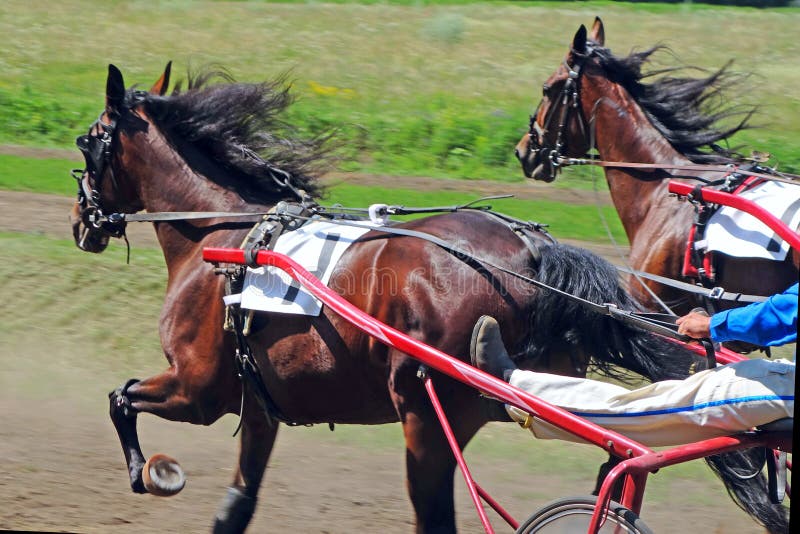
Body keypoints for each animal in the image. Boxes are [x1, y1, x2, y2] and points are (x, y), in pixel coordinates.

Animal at [69, 62, 775, 533]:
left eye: (88, 140)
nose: (81, 221)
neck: (225, 239)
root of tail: (529, 253)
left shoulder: (198, 391)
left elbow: (119, 398)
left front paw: (152, 472)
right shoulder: (260, 405)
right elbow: (235, 506)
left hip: (425, 413)